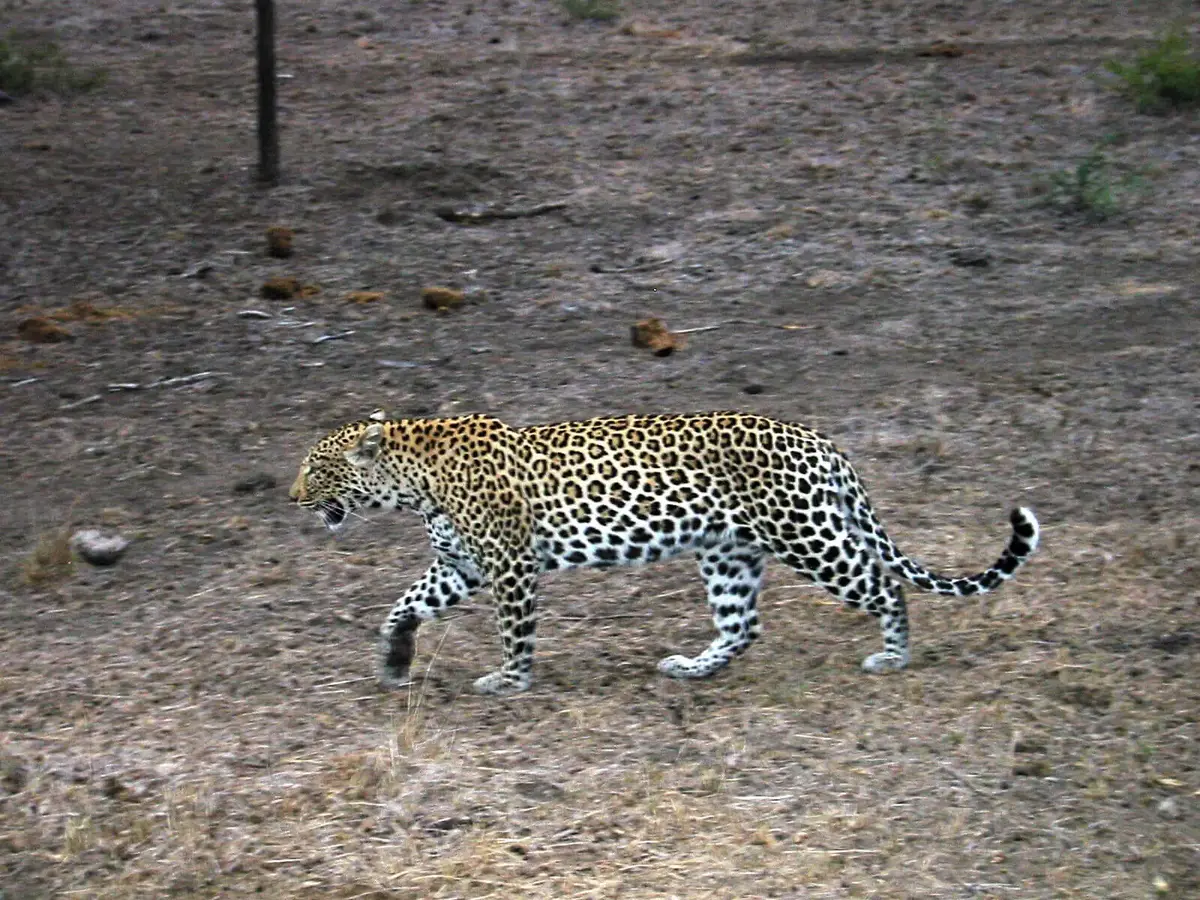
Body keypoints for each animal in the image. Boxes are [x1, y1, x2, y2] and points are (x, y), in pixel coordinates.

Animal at [289, 411, 1039, 696]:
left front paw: (510, 679)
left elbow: (513, 632)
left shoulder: (508, 566)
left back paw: (894, 655)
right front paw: (395, 659)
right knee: (743, 626)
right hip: (729, 554)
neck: (412, 480)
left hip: (810, 537)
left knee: (887, 584)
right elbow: (402, 605)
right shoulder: (462, 566)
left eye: (316, 468)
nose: (293, 497)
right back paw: (691, 668)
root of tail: (820, 439)